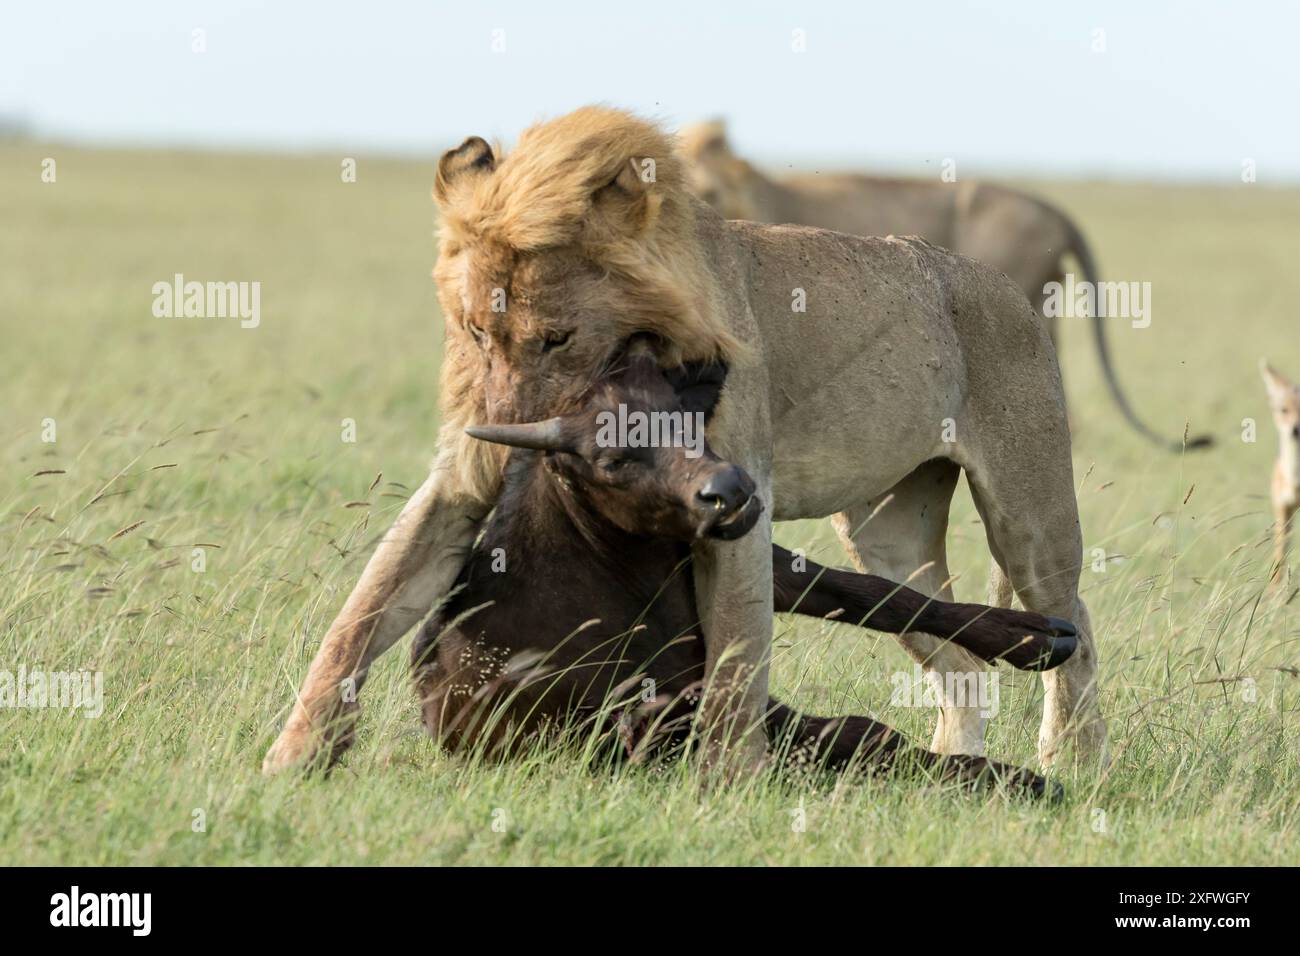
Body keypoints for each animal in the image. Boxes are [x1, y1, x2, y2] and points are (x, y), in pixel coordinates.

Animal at [263, 106, 1105, 776]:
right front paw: (295, 756)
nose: (506, 451)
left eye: (556, 337)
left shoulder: (737, 495)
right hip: (885, 531)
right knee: (950, 650)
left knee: (1077, 623)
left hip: (1027, 512)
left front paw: (730, 787)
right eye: (476, 330)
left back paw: (1074, 763)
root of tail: (1005, 287)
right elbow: (363, 610)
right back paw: (964, 757)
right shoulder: (462, 477)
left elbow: (737, 660)